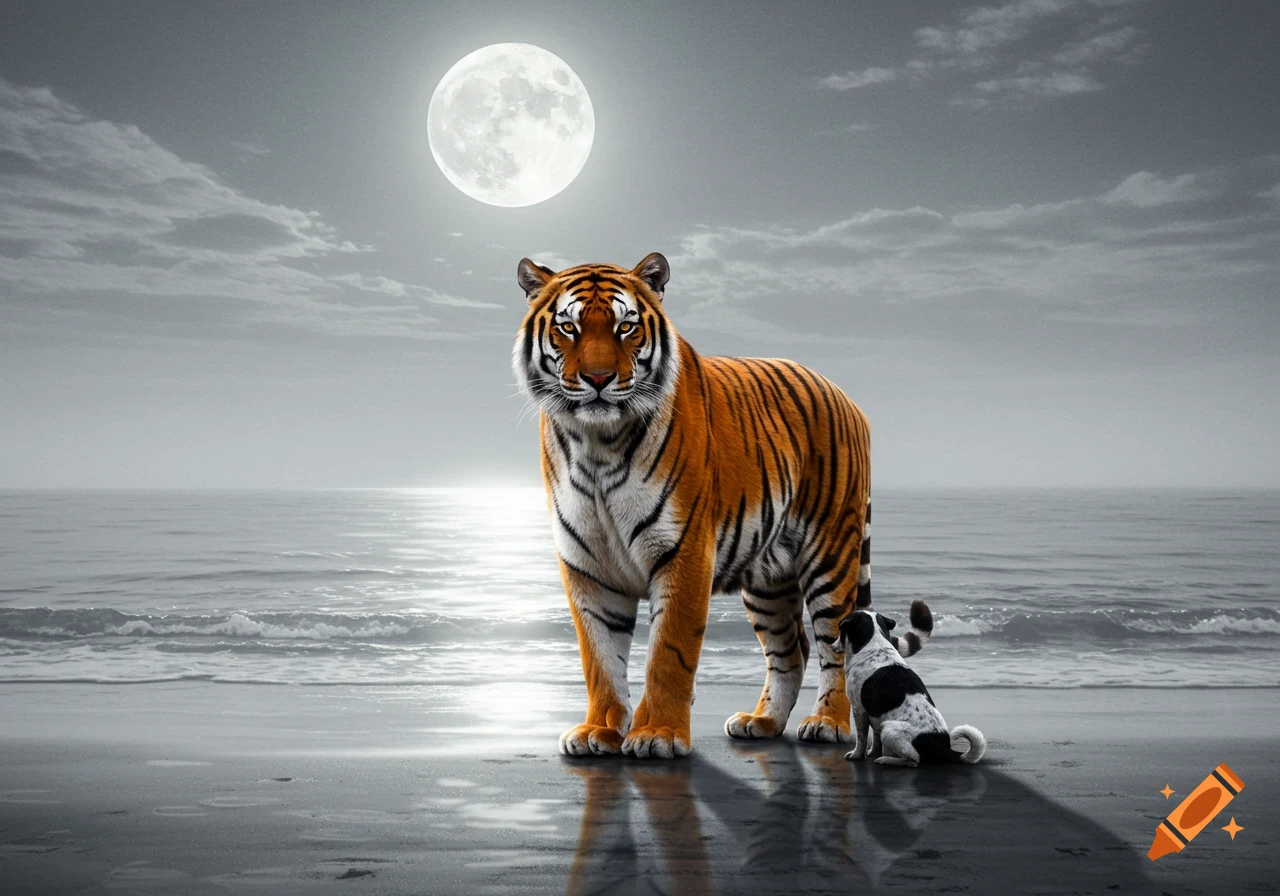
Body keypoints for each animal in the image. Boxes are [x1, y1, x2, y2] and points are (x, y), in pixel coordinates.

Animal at [512, 252, 872, 759]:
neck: (597, 444)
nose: (598, 379)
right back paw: (761, 722)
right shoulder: (588, 565)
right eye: (569, 327)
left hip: (832, 553)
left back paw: (827, 723)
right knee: (791, 650)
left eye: (626, 327)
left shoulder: (682, 551)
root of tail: (845, 396)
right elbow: (599, 656)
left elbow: (669, 651)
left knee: (834, 644)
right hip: (768, 579)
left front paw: (658, 735)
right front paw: (598, 730)